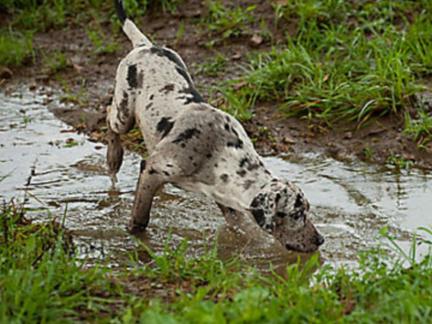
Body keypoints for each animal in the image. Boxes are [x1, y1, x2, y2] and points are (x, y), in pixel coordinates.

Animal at [107, 0, 324, 253]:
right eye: (297, 214)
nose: (320, 239)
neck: (219, 151)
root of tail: (145, 45)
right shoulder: (152, 170)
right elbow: (141, 218)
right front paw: (137, 239)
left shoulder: (226, 199)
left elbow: (242, 230)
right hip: (123, 112)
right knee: (109, 117)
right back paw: (113, 157)